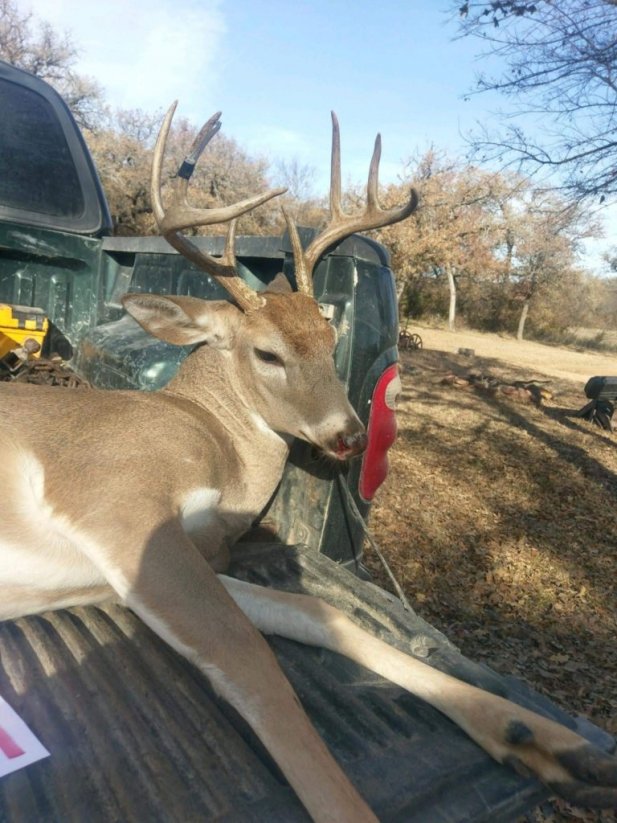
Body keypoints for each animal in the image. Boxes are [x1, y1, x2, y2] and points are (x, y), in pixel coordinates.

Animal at [0, 104, 615, 823]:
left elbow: (319, 615)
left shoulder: (153, 562)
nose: (351, 434)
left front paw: (546, 738)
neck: (213, 443)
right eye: (267, 353)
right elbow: (252, 660)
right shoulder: (114, 502)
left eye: (328, 334)